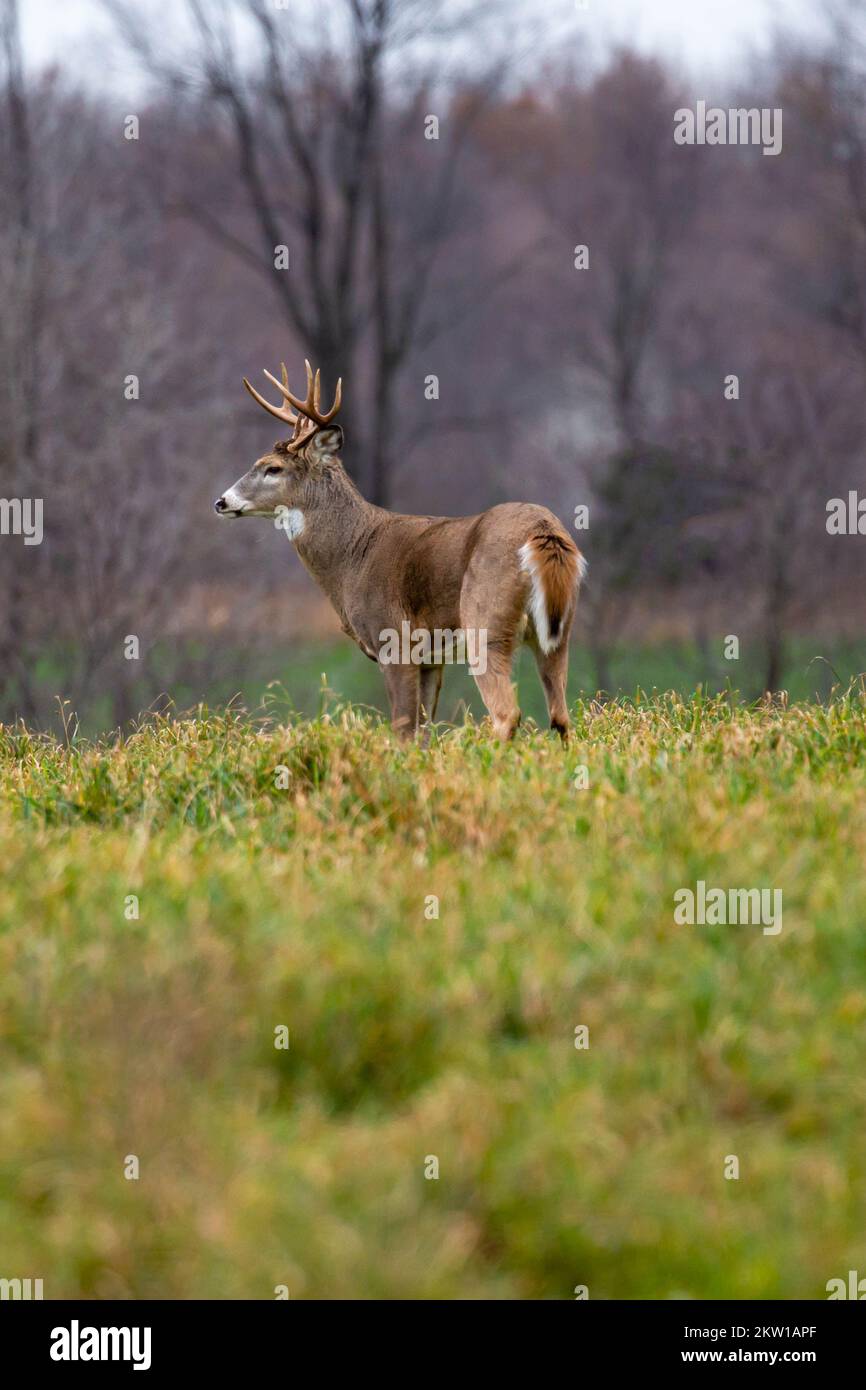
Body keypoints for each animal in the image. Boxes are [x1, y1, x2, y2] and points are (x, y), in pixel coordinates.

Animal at [215, 360, 586, 740]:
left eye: (272, 468)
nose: (222, 501)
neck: (352, 557)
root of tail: (544, 531)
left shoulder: (393, 638)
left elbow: (403, 729)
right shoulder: (431, 658)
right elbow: (422, 731)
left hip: (485, 620)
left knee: (507, 713)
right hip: (558, 633)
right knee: (561, 717)